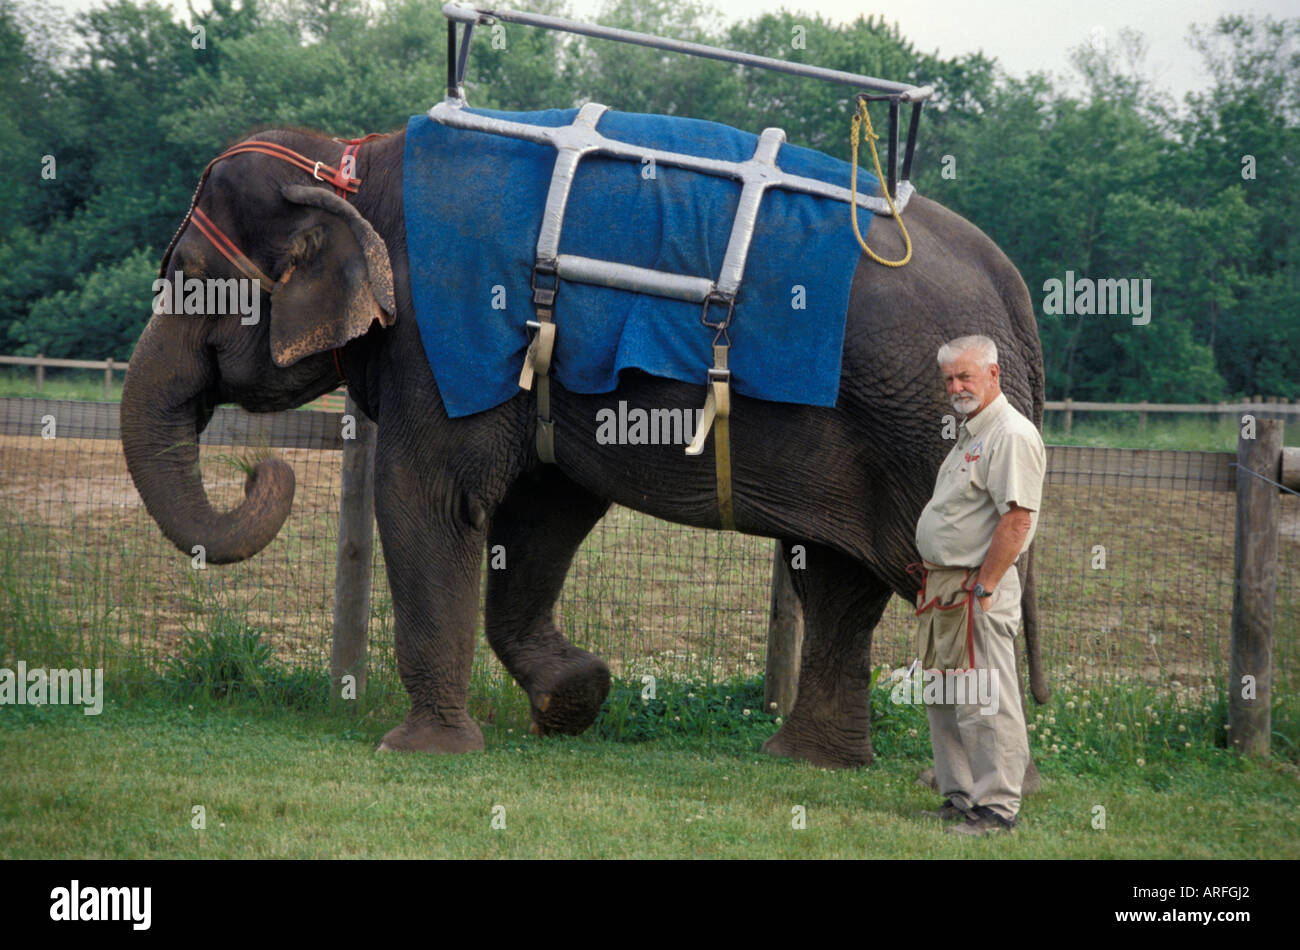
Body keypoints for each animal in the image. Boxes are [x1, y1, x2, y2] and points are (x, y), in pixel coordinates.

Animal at [121, 118, 1048, 773]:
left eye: (190, 276)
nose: (259, 466)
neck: (351, 163)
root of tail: (1013, 292)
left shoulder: (445, 336)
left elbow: (430, 495)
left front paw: (419, 751)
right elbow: (542, 514)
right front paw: (575, 701)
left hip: (921, 429)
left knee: (936, 587)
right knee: (837, 579)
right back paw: (811, 763)